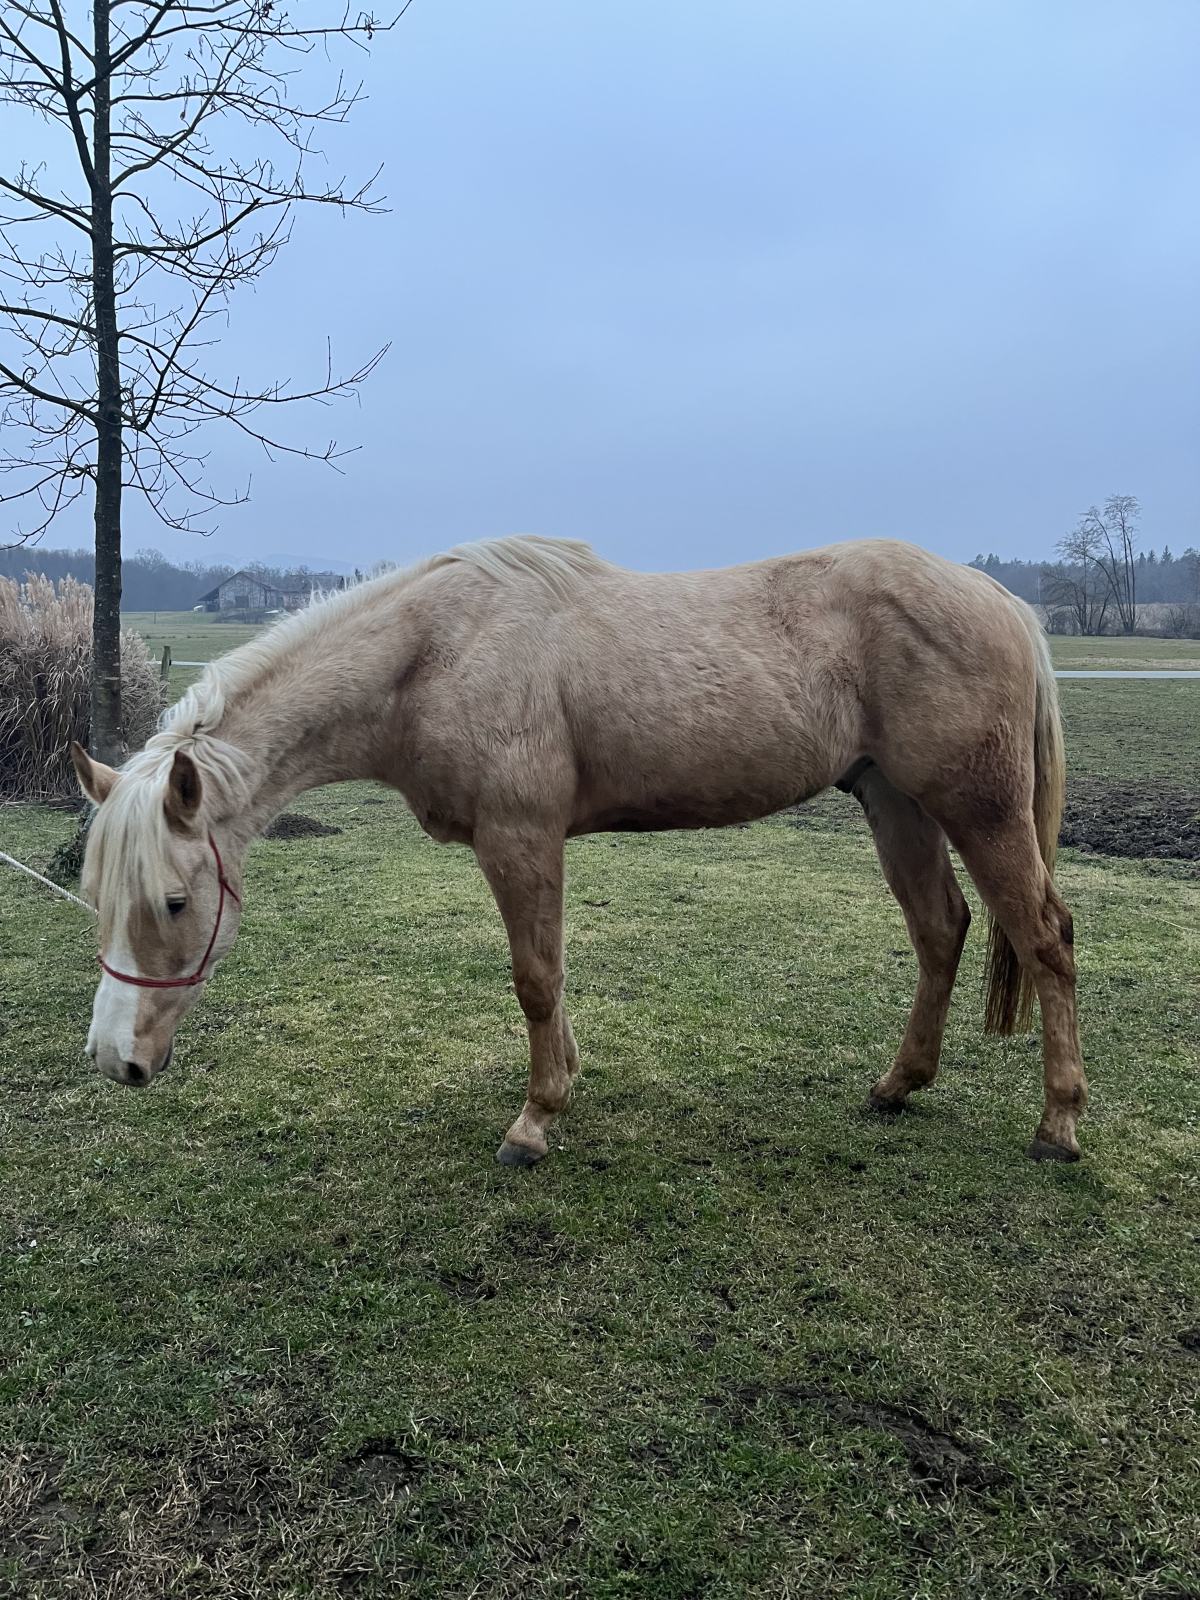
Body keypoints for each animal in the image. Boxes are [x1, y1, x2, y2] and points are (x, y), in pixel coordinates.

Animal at [72, 535, 1087, 1165]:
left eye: (172, 901)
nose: (115, 1061)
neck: (434, 654)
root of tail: (1000, 599)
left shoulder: (519, 838)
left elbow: (534, 978)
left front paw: (533, 1122)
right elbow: (550, 977)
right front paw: (567, 1078)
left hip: (978, 810)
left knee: (1046, 940)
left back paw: (1058, 1127)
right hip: (896, 803)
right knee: (941, 930)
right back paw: (897, 1085)